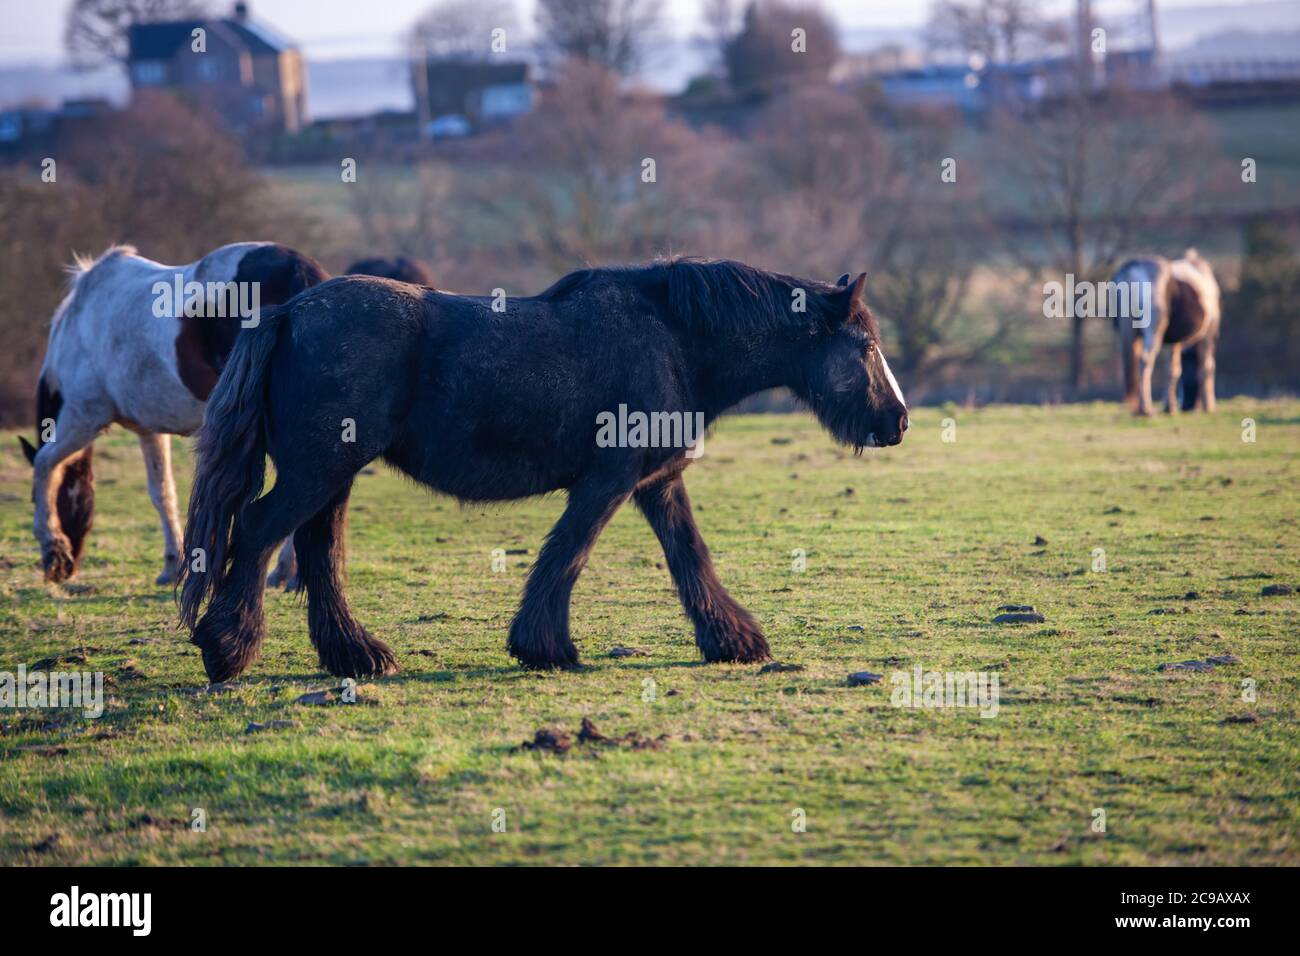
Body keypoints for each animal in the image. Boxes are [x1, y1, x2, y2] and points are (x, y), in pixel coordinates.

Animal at [20, 242, 329, 585]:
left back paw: (287, 570)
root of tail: (300, 272)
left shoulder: (83, 418)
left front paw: (52, 545)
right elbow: (162, 492)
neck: (78, 324)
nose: (61, 572)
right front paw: (171, 564)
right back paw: (289, 570)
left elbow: (45, 465)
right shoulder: (149, 430)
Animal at [177, 258, 909, 682]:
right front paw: (545, 646)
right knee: (259, 531)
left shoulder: (657, 484)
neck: (673, 337)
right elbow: (569, 552)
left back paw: (354, 656)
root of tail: (287, 311)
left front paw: (732, 639)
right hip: (317, 469)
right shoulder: (609, 481)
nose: (899, 421)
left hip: (333, 474)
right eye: (865, 345)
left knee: (316, 549)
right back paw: (227, 647)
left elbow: (689, 556)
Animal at [1112, 249, 1221, 416]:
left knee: (1136, 363)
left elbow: (1173, 370)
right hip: (1154, 331)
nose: (1187, 407)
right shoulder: (1208, 334)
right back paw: (1146, 409)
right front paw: (1209, 406)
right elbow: (1206, 367)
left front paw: (1169, 407)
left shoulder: (1175, 341)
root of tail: (1131, 269)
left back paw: (1140, 408)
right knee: (1145, 360)